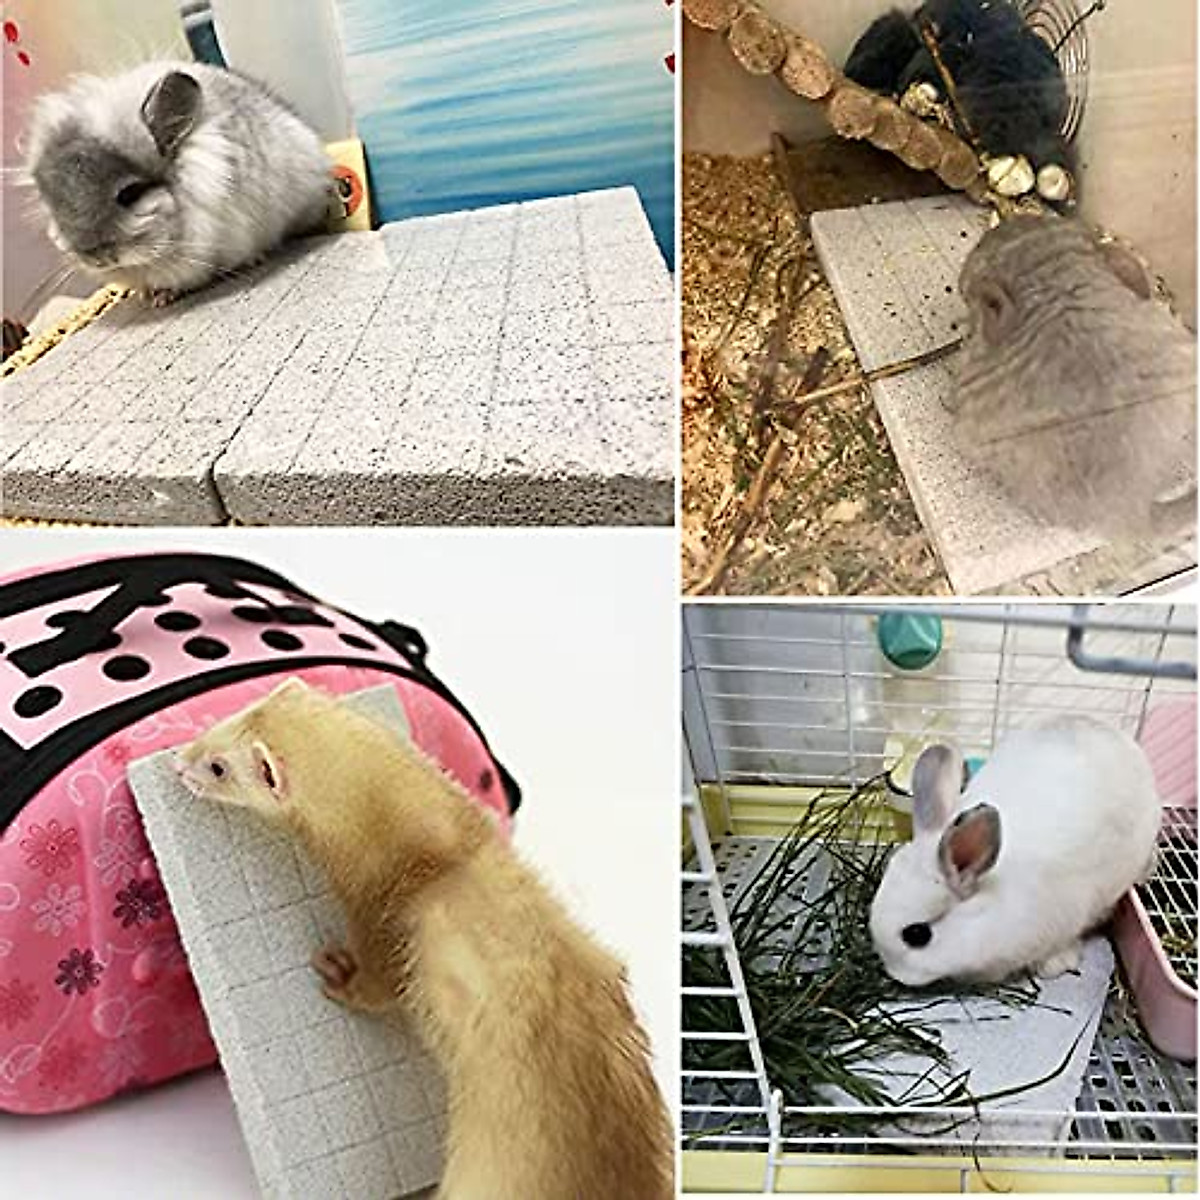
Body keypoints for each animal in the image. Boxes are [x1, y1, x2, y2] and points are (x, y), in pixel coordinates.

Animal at [175, 678, 673, 1200]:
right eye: (222, 720)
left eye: (219, 766)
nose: (178, 764)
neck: (439, 851)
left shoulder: (386, 930)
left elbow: (378, 989)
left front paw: (337, 973)